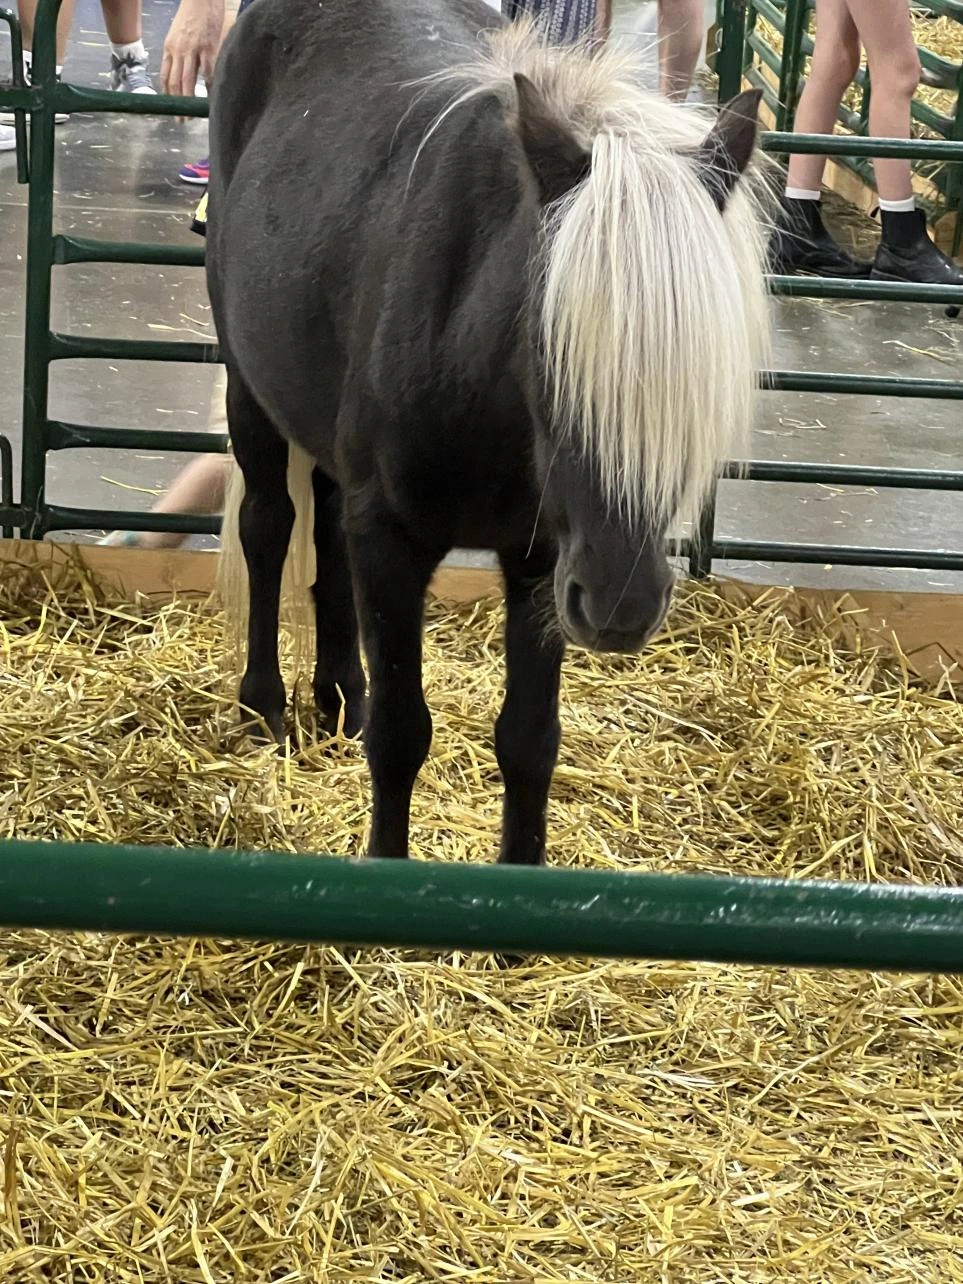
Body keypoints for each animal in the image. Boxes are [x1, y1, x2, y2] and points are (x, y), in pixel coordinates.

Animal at [209, 0, 772, 864]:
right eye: (550, 343)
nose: (620, 603)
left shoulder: (543, 560)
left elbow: (529, 739)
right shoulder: (394, 541)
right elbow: (402, 733)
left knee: (326, 531)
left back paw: (338, 698)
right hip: (249, 384)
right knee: (269, 527)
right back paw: (264, 704)